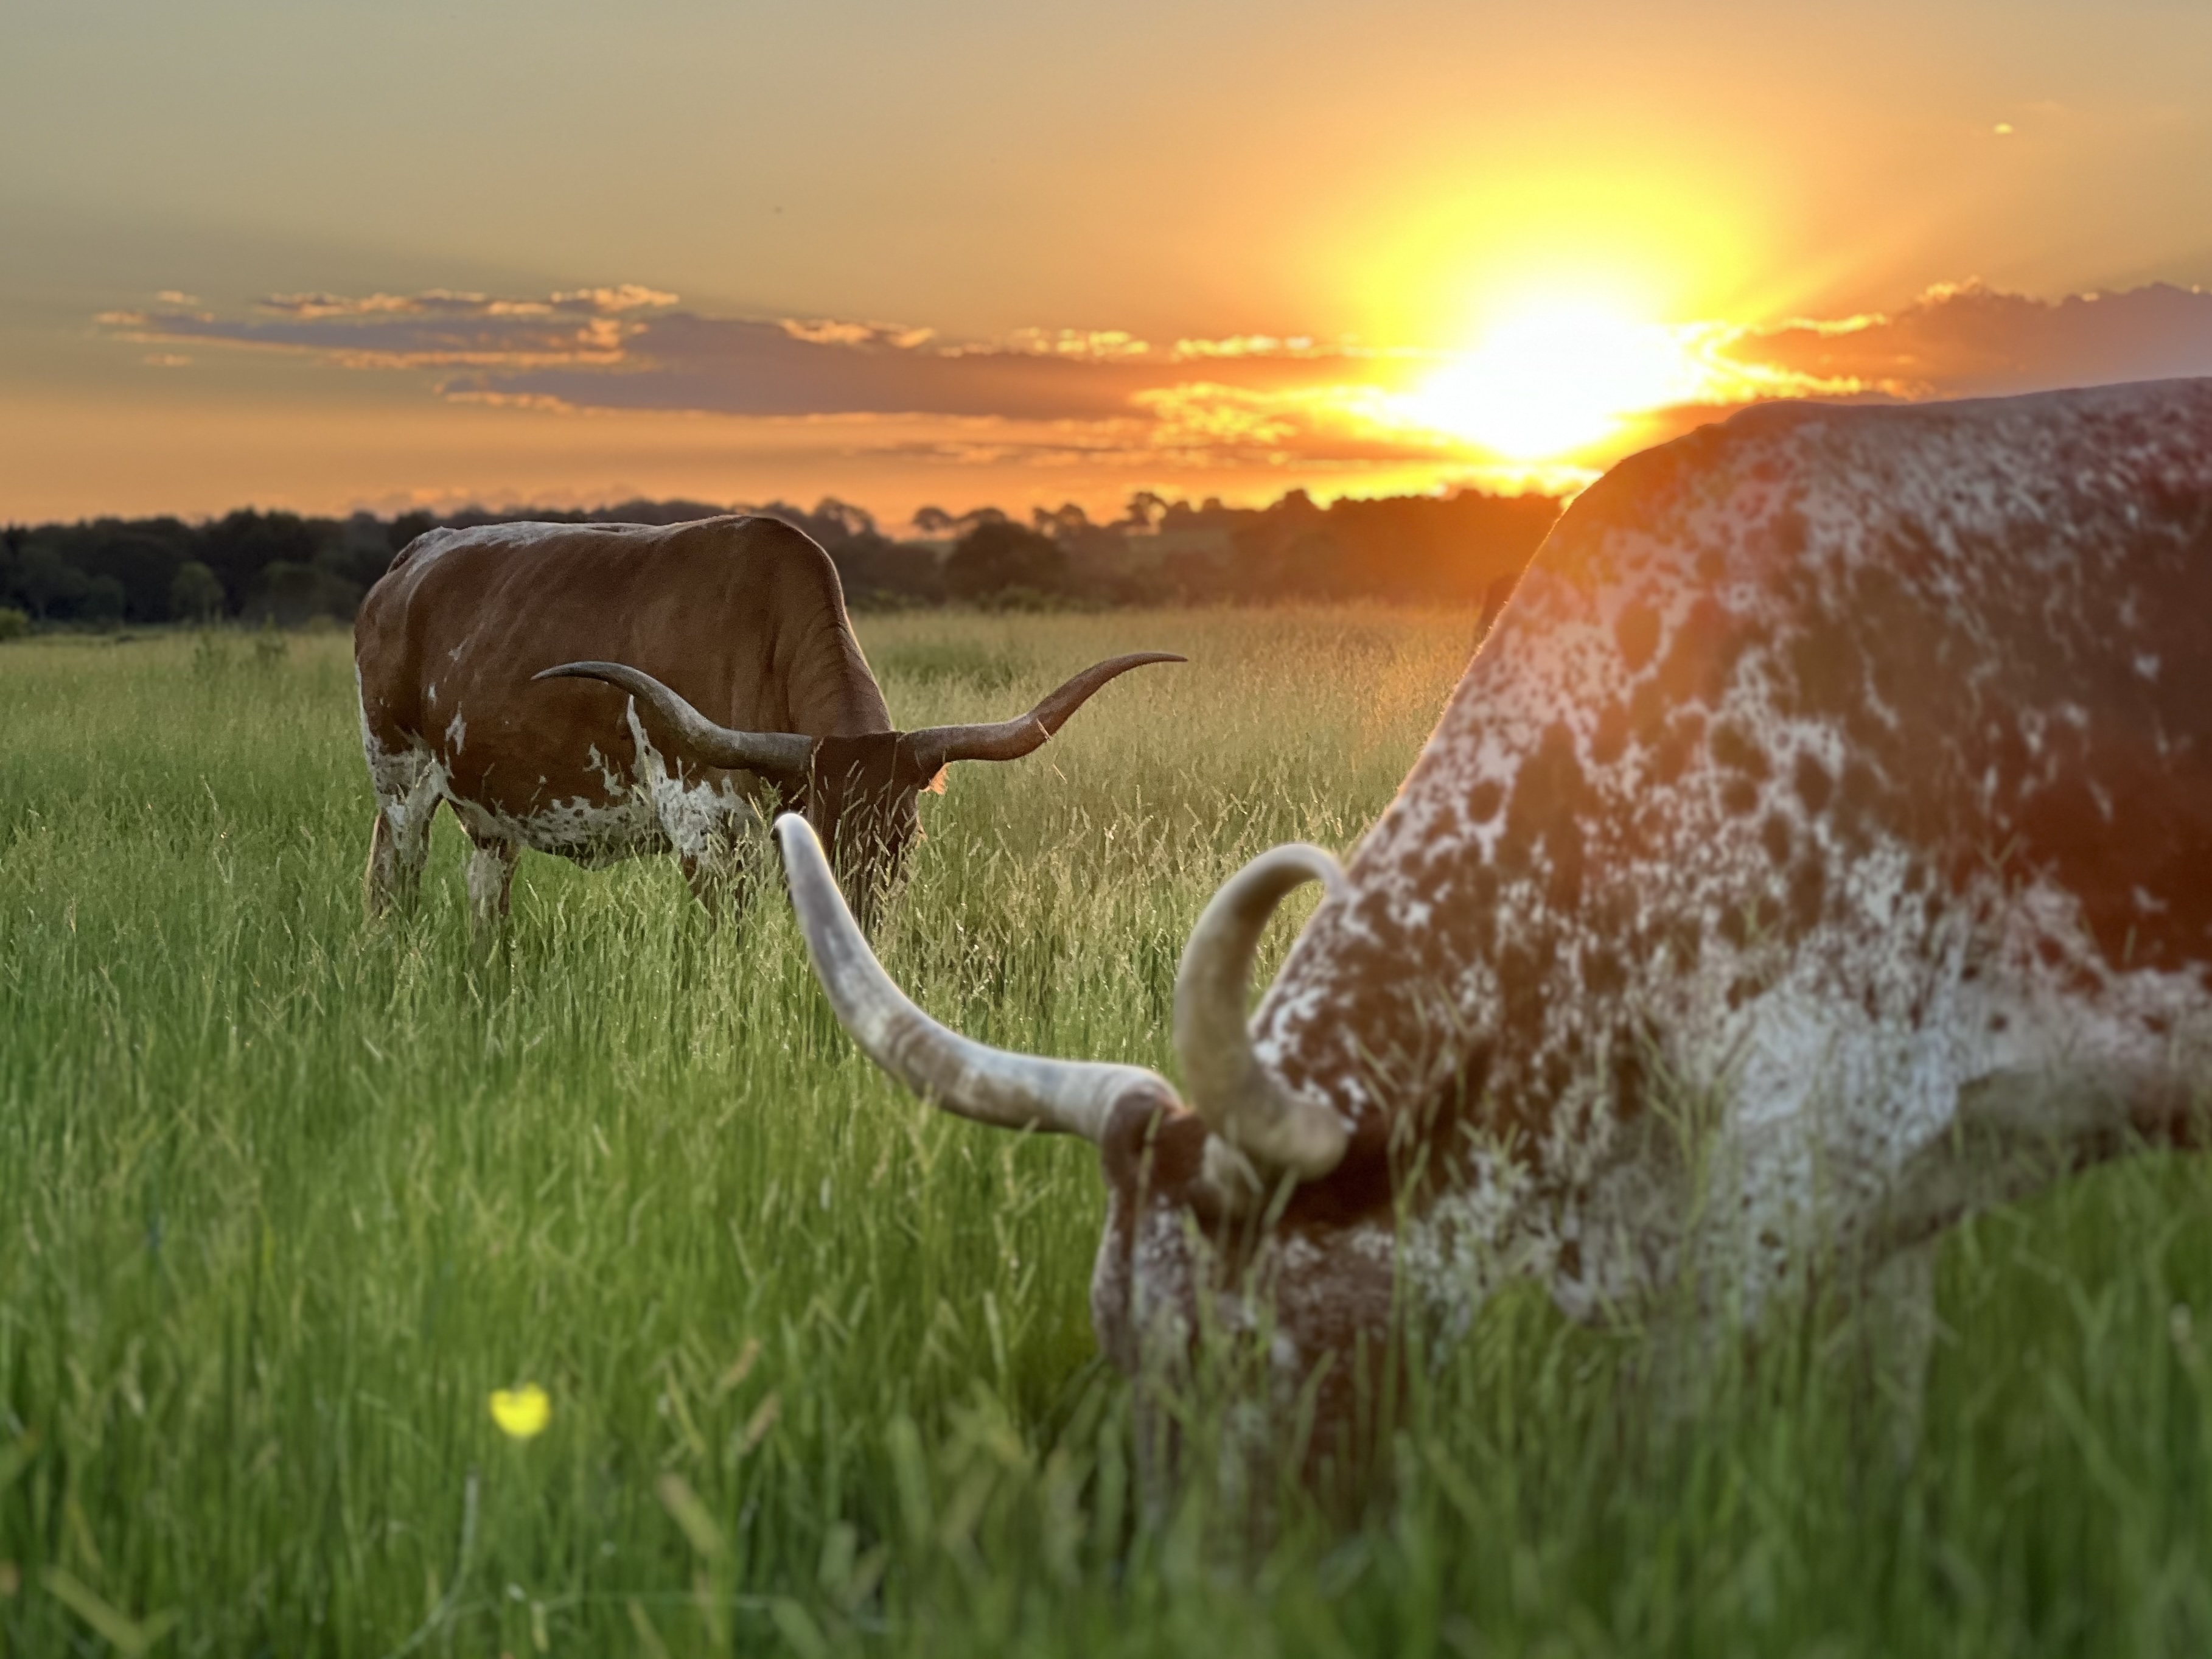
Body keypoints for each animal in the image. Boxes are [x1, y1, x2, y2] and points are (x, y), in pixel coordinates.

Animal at [352, 514, 1180, 927]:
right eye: (822, 836)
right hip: (399, 781)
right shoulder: (697, 819)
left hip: (491, 813)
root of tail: (409, 561)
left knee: (485, 896)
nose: (863, 932)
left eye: (903, 839)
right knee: (392, 882)